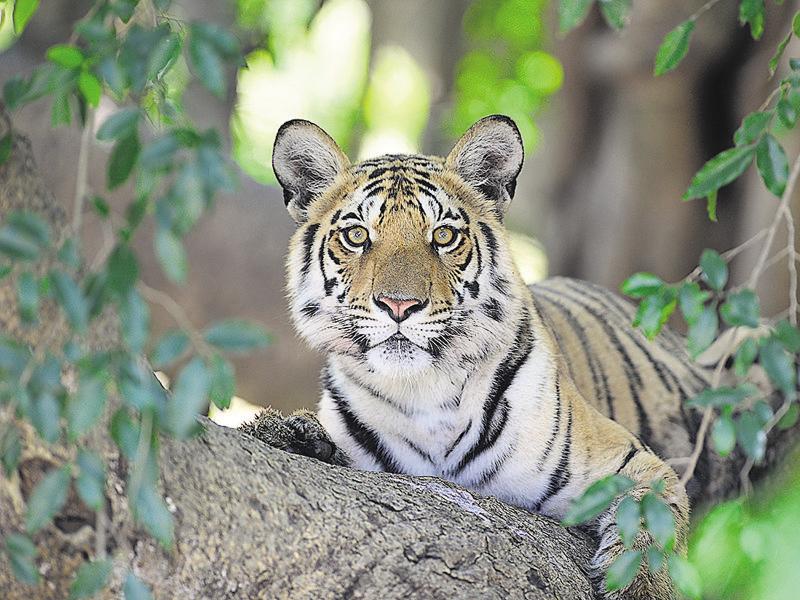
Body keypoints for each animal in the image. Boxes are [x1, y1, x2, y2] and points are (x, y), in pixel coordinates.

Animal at [256, 114, 727, 599]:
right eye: (356, 236)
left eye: (444, 236)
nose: (398, 305)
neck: (423, 390)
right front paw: (288, 433)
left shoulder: (634, 463)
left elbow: (649, 527)